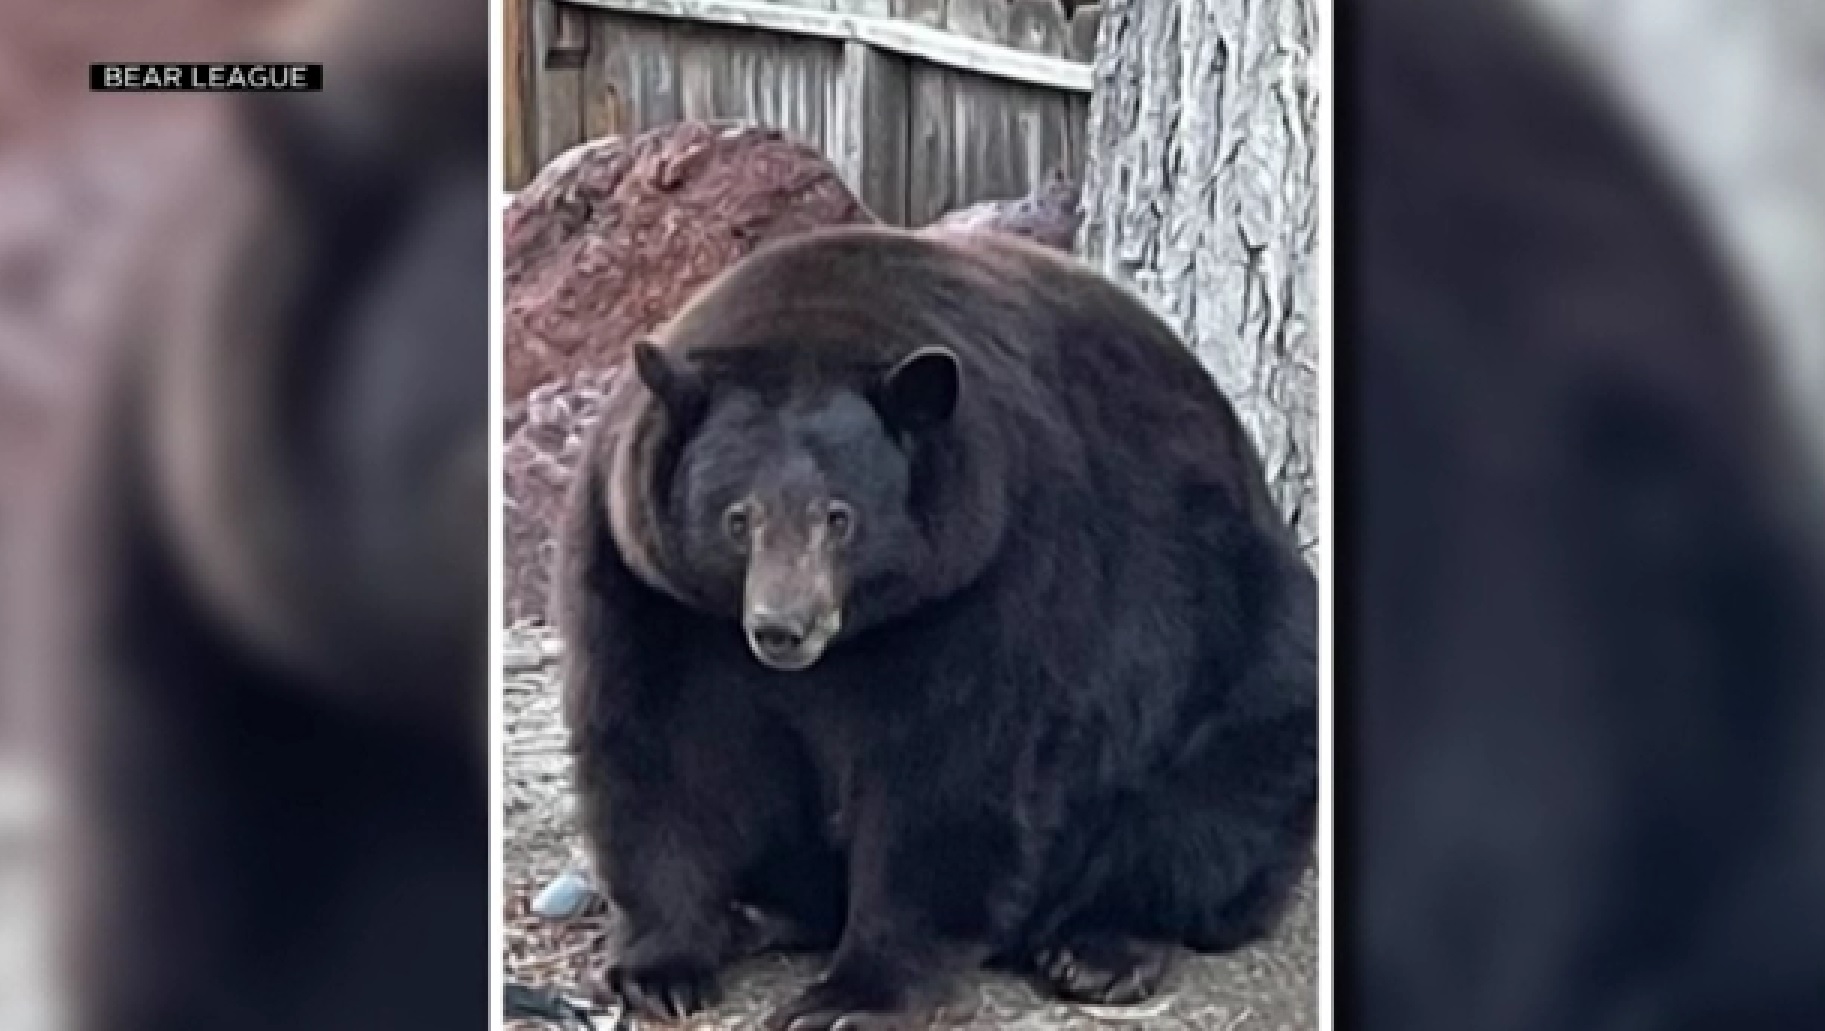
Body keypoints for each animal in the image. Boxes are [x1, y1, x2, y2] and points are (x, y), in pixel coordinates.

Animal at [559, 224, 1317, 1029]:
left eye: (839, 516)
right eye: (739, 517)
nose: (782, 628)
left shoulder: (992, 570)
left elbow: (949, 768)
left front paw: (850, 995)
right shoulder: (647, 582)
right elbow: (663, 746)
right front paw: (661, 967)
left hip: (1238, 651)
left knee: (1213, 805)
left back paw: (1099, 948)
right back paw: (760, 912)